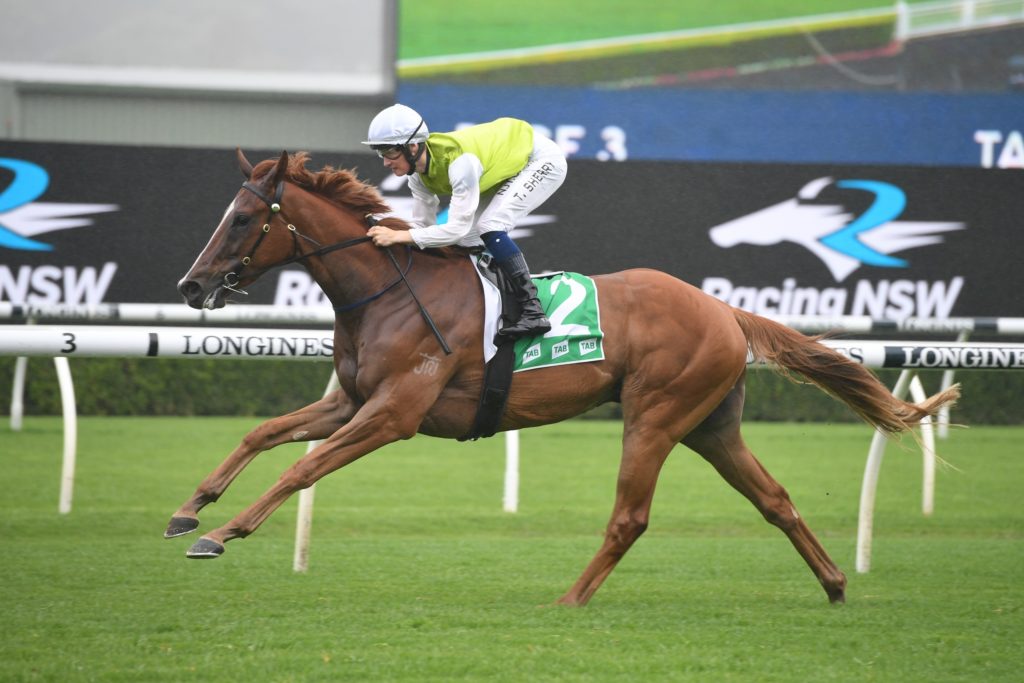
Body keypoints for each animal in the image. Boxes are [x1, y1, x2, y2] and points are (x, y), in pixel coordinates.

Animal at [168, 149, 959, 606]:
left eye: (241, 219)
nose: (190, 285)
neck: (390, 289)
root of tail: (724, 310)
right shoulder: (355, 401)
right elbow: (265, 432)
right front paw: (191, 509)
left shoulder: (394, 414)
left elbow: (305, 468)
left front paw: (225, 532)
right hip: (711, 425)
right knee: (776, 500)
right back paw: (833, 583)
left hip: (656, 415)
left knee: (630, 516)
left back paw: (572, 599)